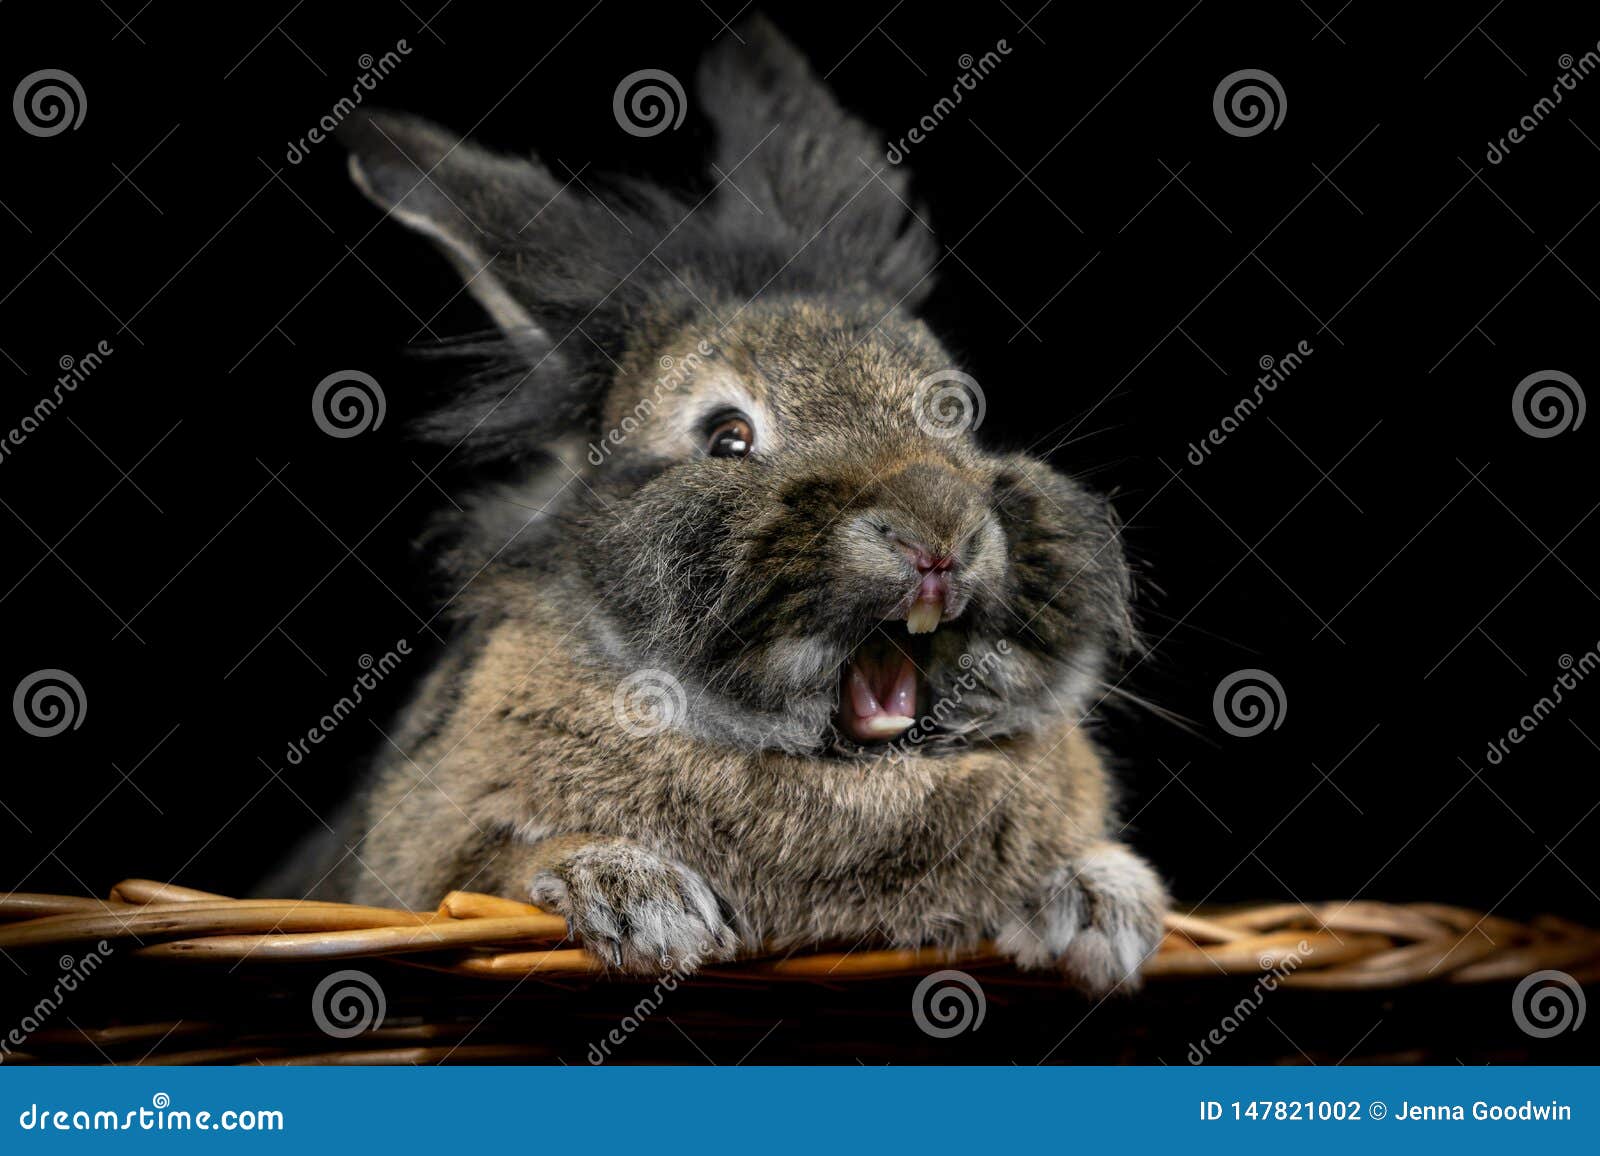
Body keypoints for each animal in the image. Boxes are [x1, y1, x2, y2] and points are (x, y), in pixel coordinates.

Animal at [300, 15, 1168, 994]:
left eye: (960, 415)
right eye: (727, 438)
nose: (940, 537)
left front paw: (1108, 904)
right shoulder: (424, 866)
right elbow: (495, 872)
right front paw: (636, 899)